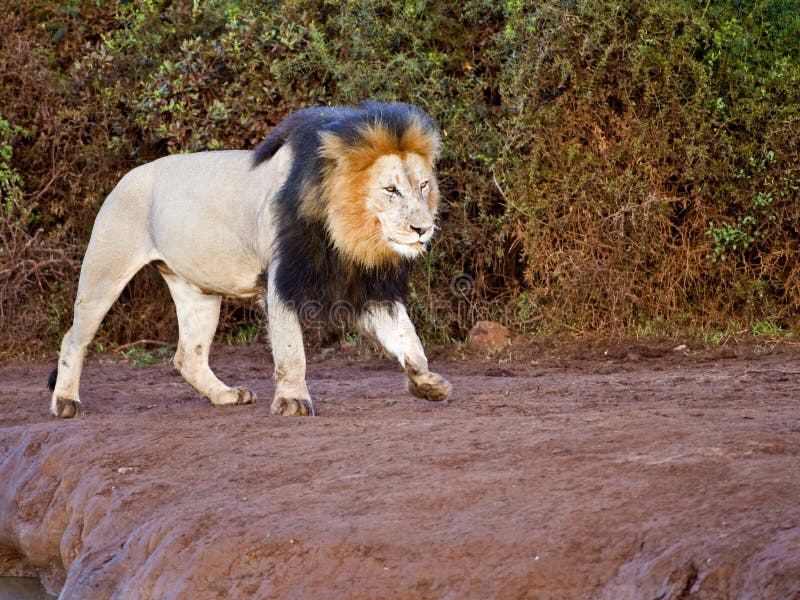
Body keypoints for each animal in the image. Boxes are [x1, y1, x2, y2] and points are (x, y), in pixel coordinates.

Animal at [48, 101, 452, 418]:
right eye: (390, 189)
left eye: (423, 185)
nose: (422, 229)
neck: (348, 237)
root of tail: (126, 176)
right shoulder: (281, 281)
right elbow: (291, 350)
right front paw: (292, 401)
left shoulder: (368, 287)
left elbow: (409, 340)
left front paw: (426, 383)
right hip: (105, 272)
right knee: (73, 339)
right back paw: (66, 402)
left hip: (198, 293)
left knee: (188, 357)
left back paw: (226, 395)